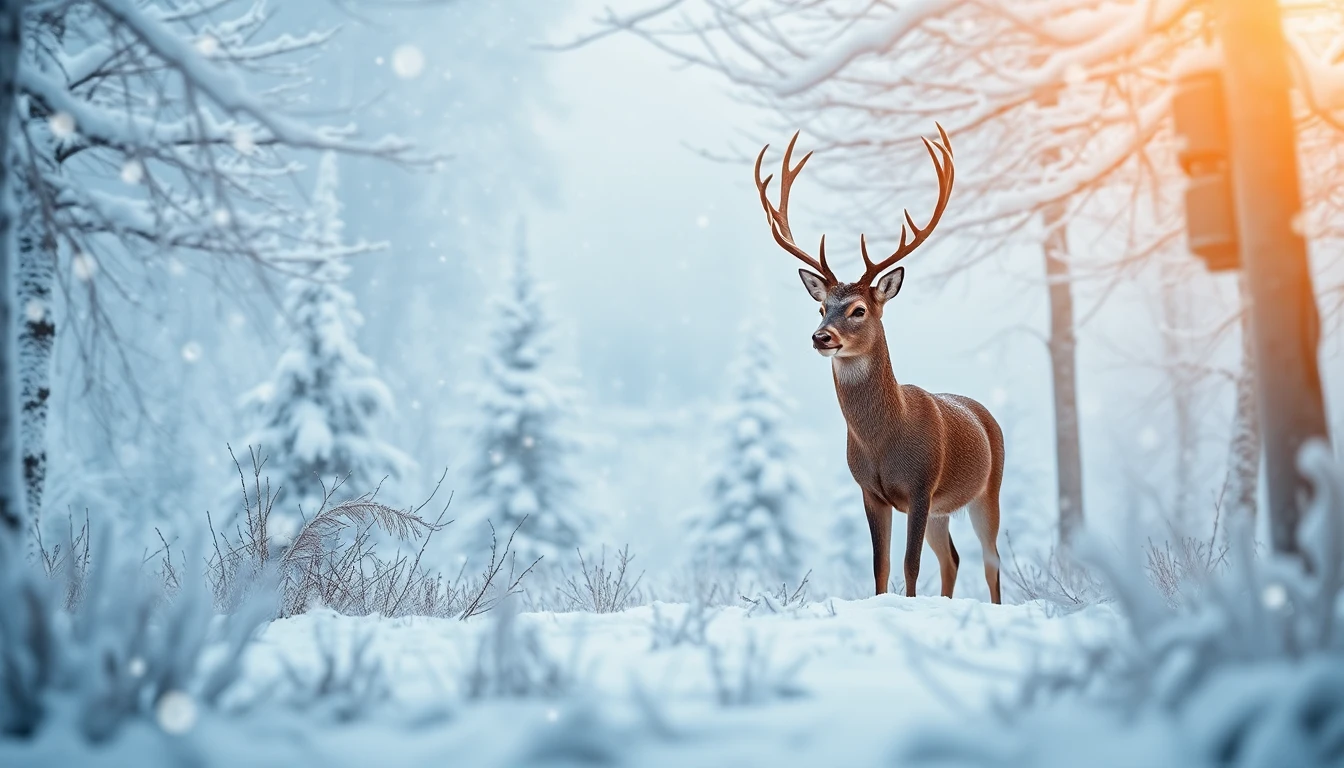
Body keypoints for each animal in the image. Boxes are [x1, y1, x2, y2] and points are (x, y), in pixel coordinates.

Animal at [753, 125, 1005, 604]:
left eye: (859, 310)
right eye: (821, 308)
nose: (821, 337)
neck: (884, 442)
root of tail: (986, 415)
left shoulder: (922, 486)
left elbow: (909, 565)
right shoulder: (870, 491)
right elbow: (880, 566)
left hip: (989, 488)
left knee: (991, 561)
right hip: (945, 508)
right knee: (953, 558)